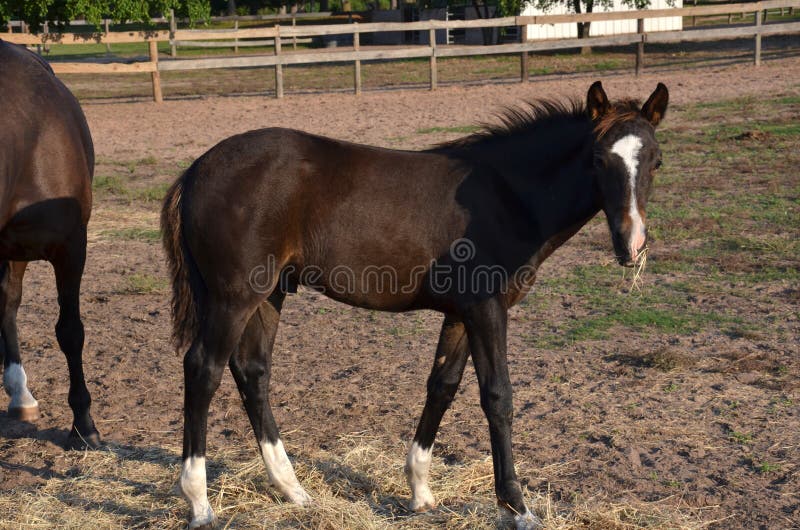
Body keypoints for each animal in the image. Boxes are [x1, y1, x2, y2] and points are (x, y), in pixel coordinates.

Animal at [161, 80, 668, 529]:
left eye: (656, 161)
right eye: (598, 159)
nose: (631, 245)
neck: (507, 195)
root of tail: (197, 169)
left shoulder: (461, 313)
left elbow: (441, 387)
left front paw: (421, 492)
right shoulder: (487, 308)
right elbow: (497, 396)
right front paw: (517, 507)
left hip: (269, 294)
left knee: (252, 371)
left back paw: (293, 490)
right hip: (234, 297)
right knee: (204, 369)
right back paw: (199, 503)